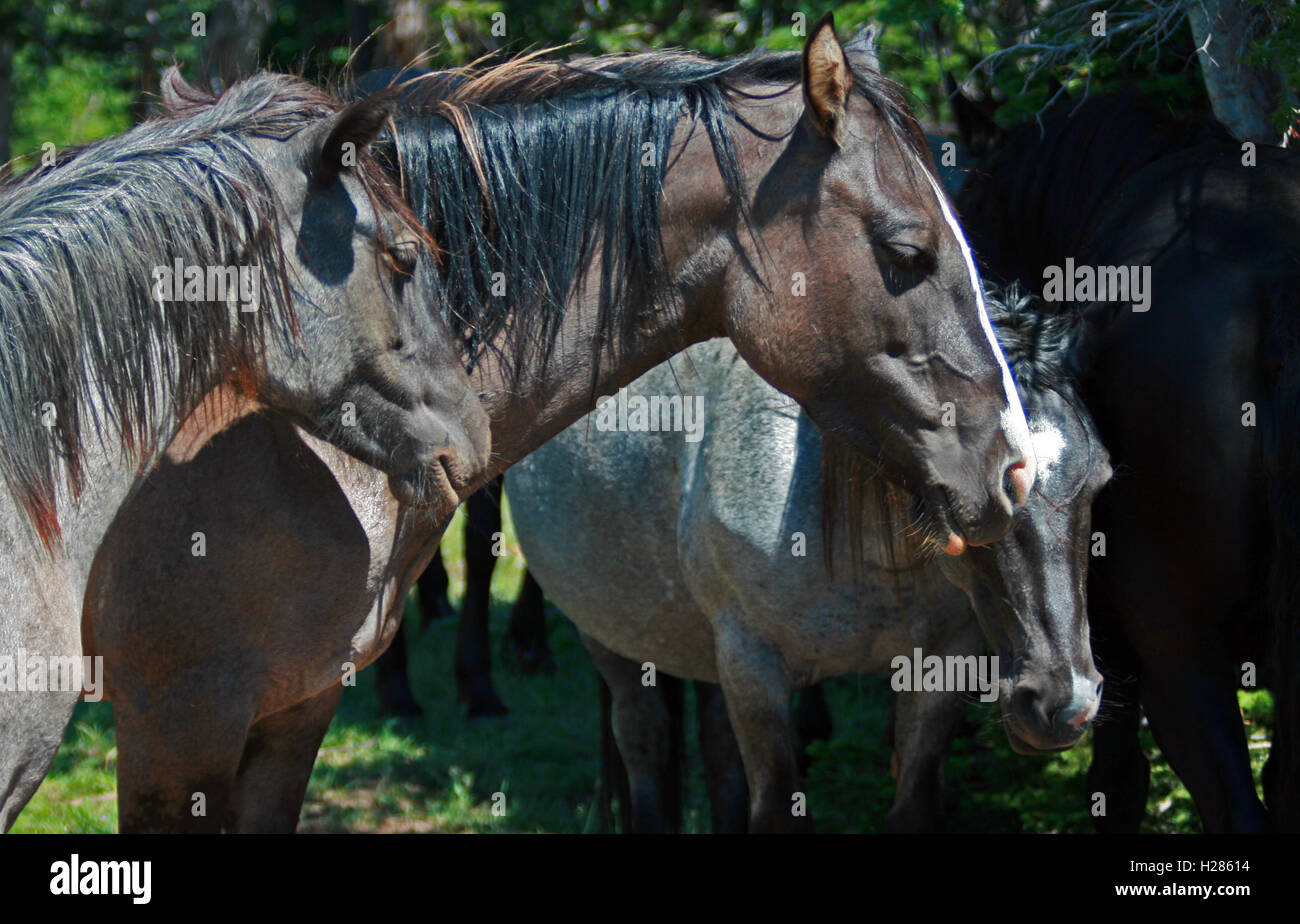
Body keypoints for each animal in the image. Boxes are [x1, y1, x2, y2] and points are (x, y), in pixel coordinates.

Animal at [505, 282, 1110, 832]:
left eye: (1101, 480)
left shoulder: (942, 662)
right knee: (645, 740)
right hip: (609, 635)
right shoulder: (755, 671)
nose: (1064, 704)